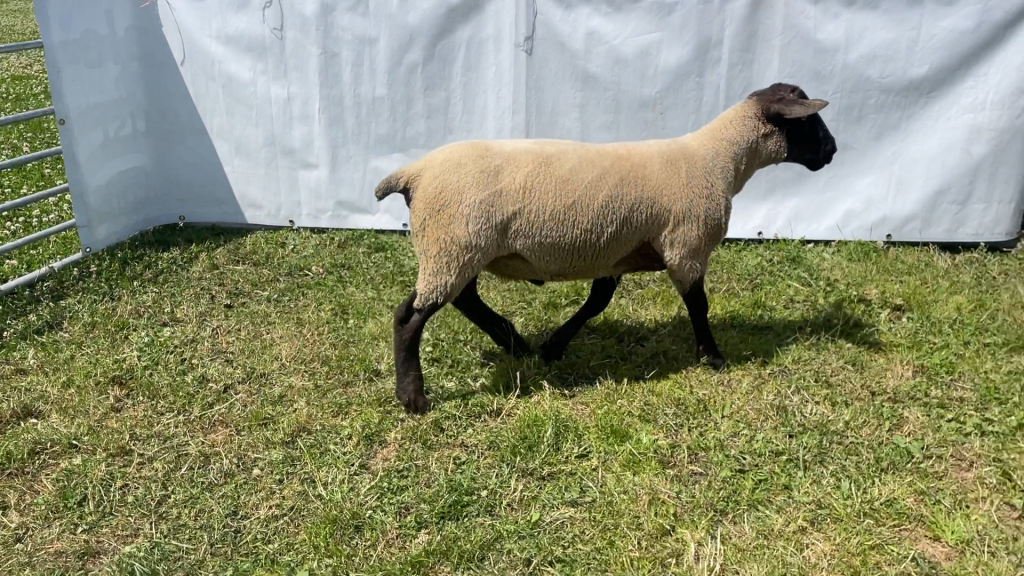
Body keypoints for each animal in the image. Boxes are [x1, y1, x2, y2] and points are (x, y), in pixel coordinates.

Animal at [375, 82, 838, 414]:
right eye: (809, 122)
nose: (832, 151)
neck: (717, 161)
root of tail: (414, 173)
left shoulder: (615, 250)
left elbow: (597, 302)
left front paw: (553, 347)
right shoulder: (686, 247)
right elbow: (698, 306)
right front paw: (713, 357)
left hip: (457, 249)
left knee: (464, 299)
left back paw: (514, 342)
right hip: (452, 244)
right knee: (410, 318)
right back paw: (413, 398)